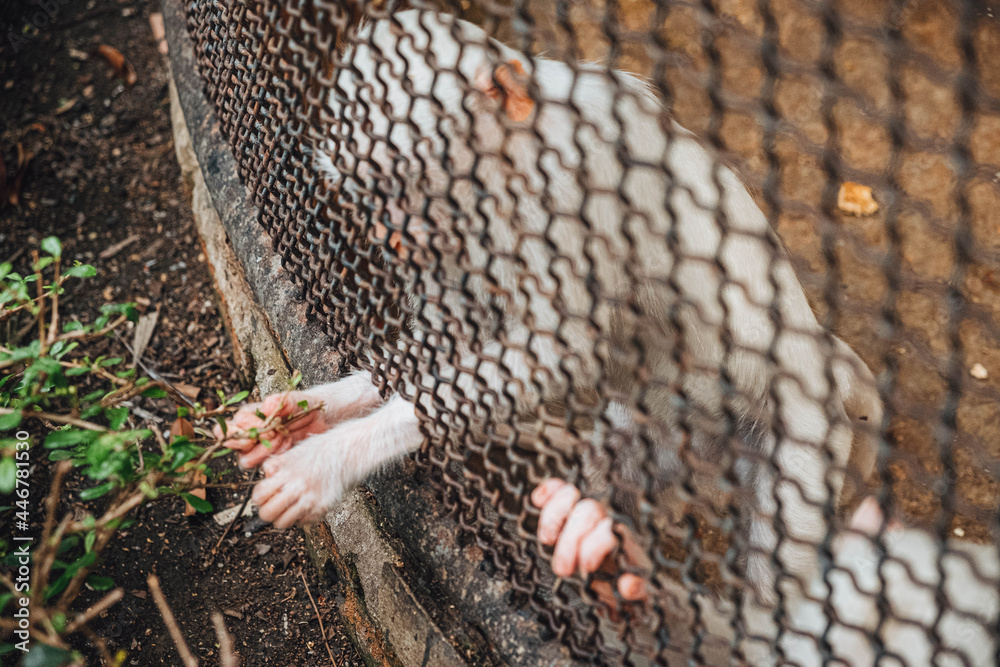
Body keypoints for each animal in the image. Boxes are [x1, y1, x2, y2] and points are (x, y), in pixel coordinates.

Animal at [219, 8, 883, 612]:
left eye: (401, 184)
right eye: (370, 194)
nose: (393, 238)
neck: (510, 161)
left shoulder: (573, 186)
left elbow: (560, 352)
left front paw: (327, 461)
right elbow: (446, 329)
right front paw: (306, 412)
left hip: (804, 438)